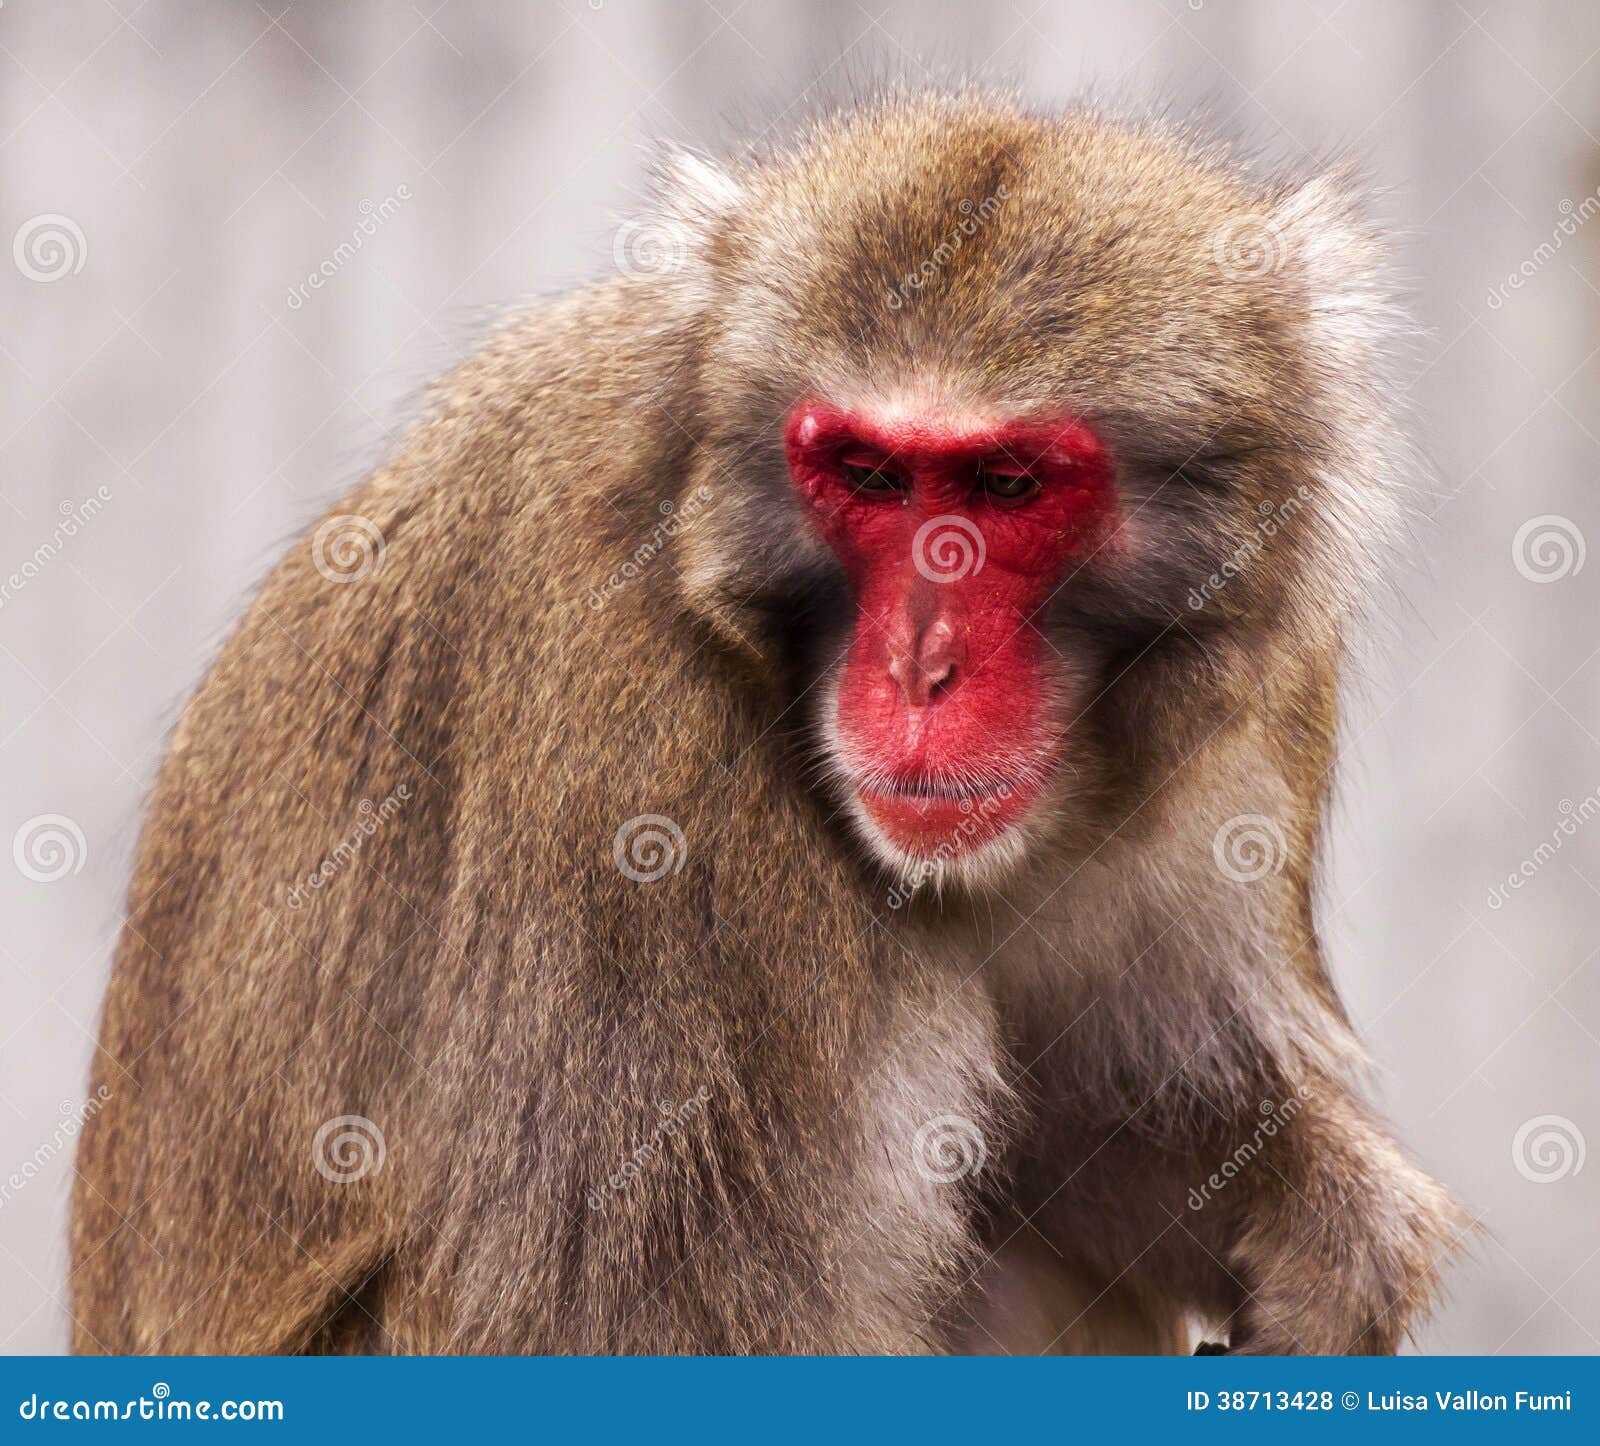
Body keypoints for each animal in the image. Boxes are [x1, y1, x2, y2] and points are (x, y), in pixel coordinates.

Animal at [69, 91, 1466, 1356]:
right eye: (868, 475)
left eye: (1009, 483)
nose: (919, 669)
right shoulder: (629, 757)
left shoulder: (1265, 682)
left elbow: (1078, 1108)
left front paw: (1324, 1223)